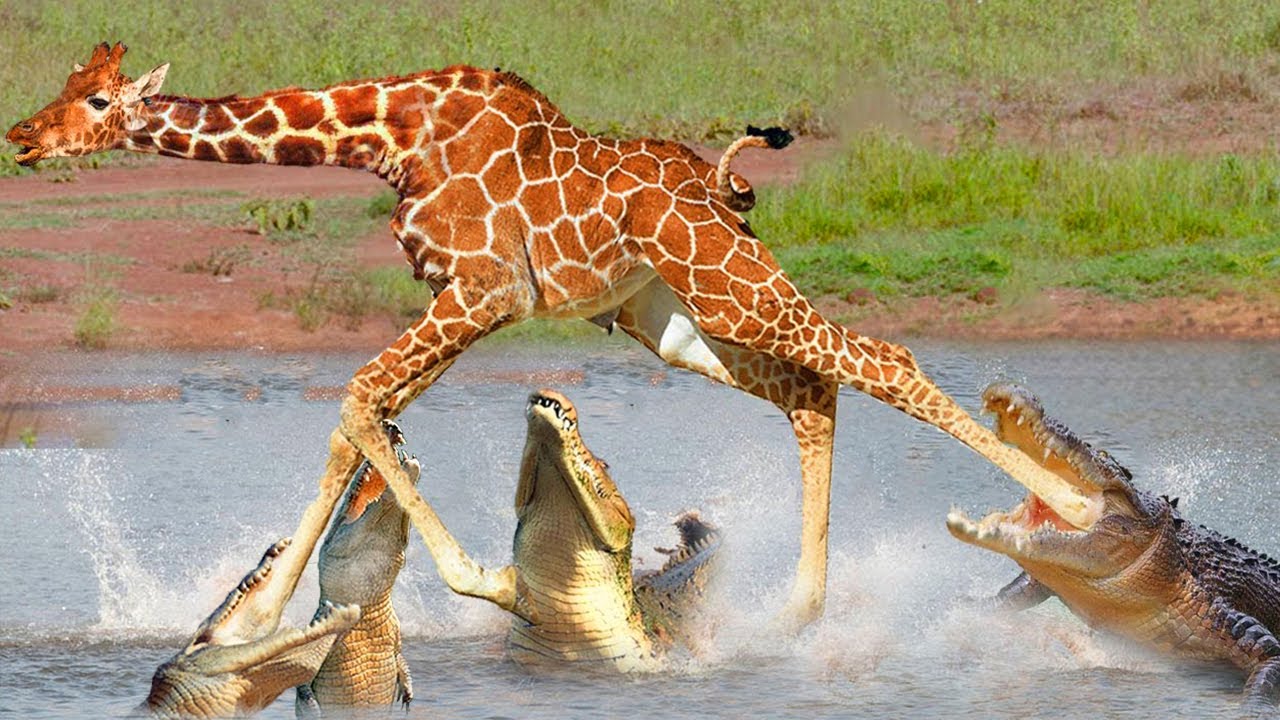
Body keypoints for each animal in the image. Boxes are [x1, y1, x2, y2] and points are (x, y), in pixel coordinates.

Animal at [7, 43, 1098, 628]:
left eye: (95, 99)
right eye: (62, 87)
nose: (22, 136)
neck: (383, 142)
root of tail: (725, 188)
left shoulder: (481, 294)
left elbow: (357, 401)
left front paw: (487, 582)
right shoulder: (466, 304)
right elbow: (356, 419)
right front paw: (266, 613)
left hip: (729, 292)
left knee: (881, 360)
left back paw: (1078, 511)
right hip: (678, 321)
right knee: (815, 391)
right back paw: (797, 611)